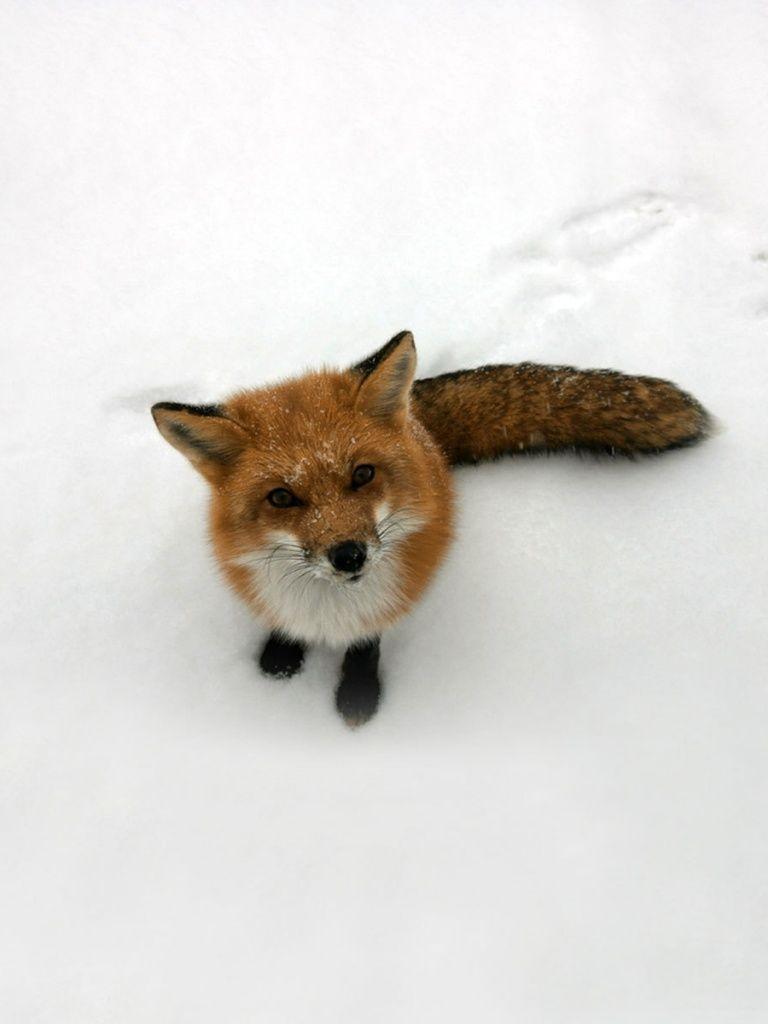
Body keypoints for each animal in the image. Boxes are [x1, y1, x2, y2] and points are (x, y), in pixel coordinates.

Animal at [151, 330, 711, 727]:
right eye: (282, 498)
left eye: (362, 474)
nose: (349, 555)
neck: (330, 611)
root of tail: (418, 423)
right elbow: (282, 625)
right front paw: (280, 657)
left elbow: (367, 644)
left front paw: (358, 694)